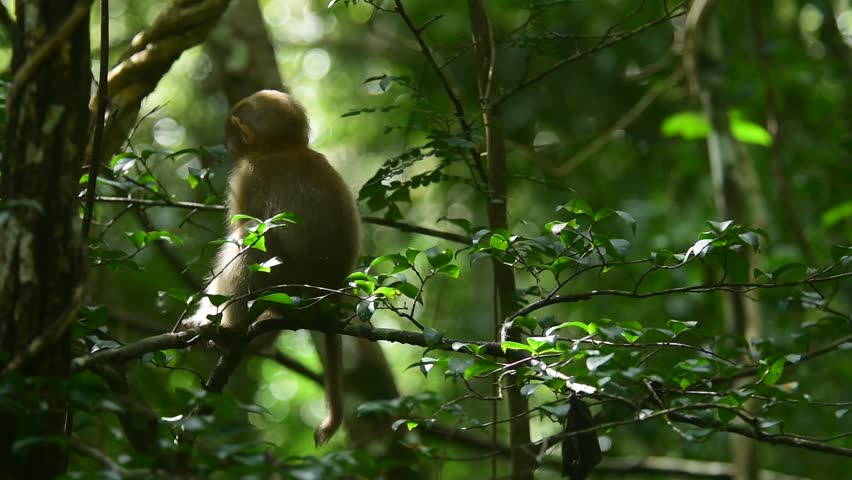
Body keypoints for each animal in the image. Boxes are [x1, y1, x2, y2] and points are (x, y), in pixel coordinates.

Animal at [183, 90, 360, 447]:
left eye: (233, 130)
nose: (226, 143)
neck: (288, 149)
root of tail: (329, 296)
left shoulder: (249, 175)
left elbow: (243, 228)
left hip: (288, 284)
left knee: (251, 237)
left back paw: (232, 329)